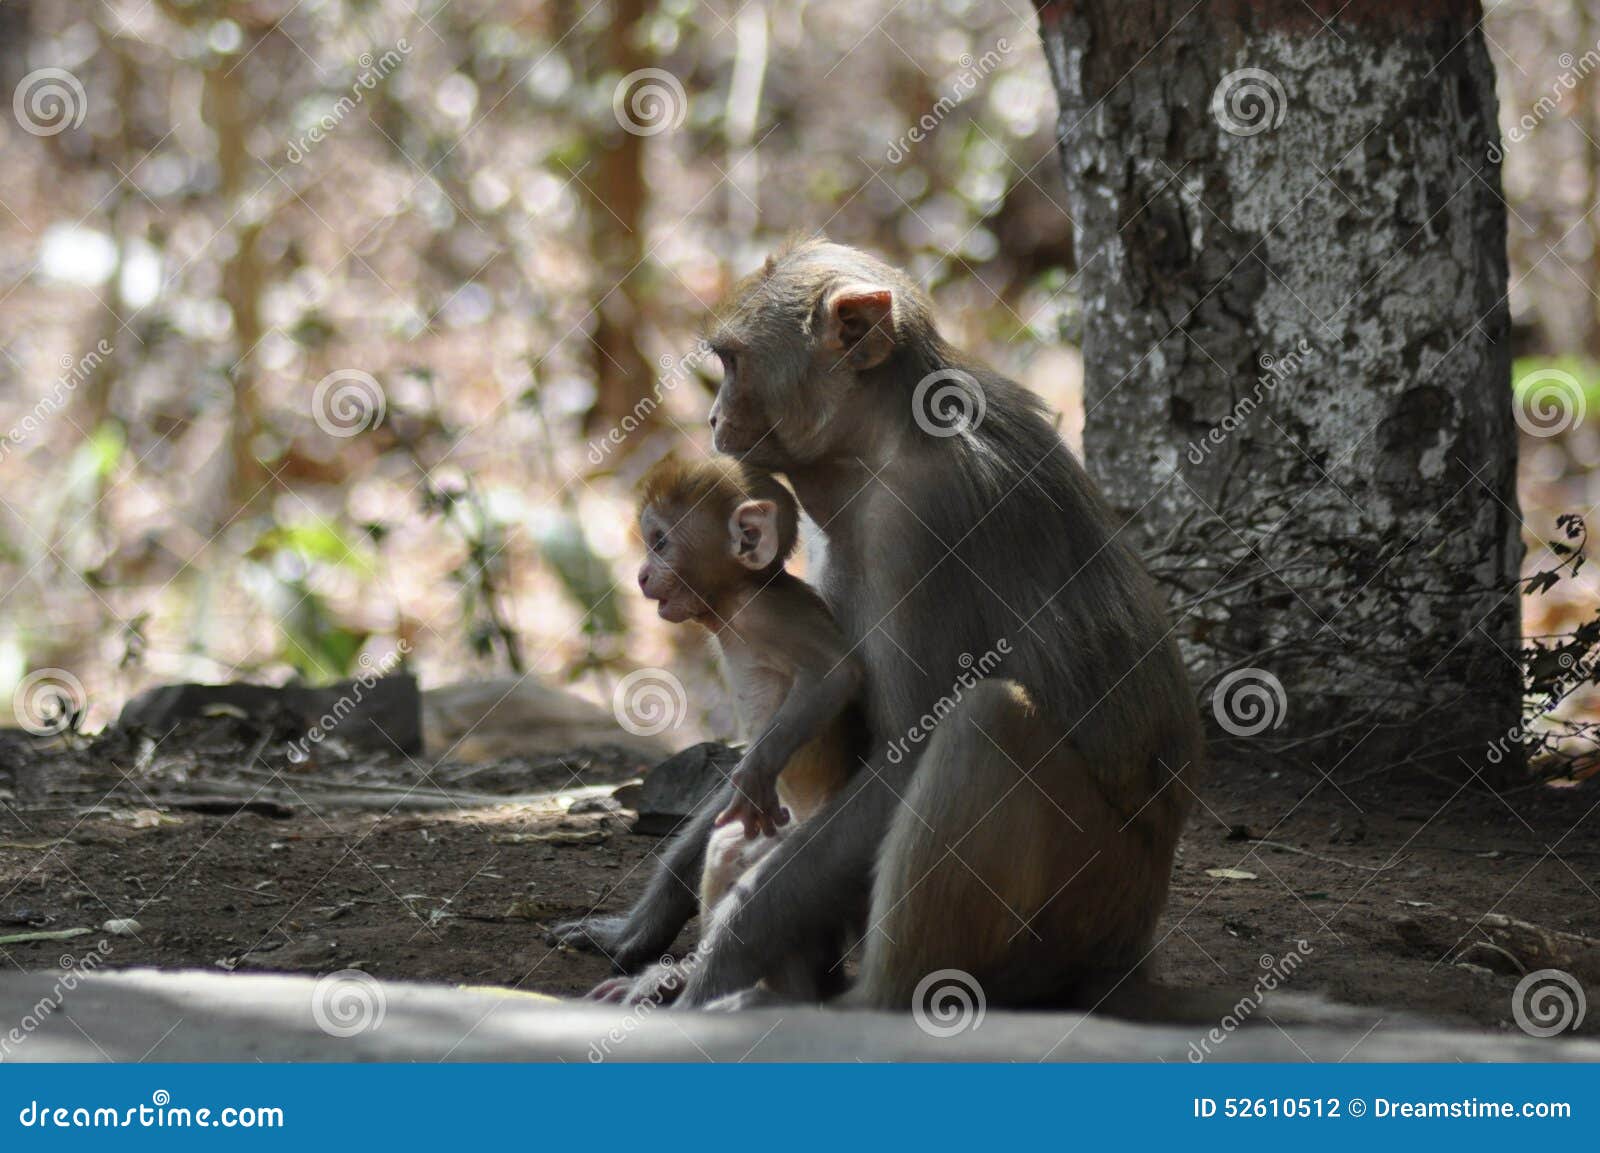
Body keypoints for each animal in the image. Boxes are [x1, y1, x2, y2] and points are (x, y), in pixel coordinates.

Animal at [577, 456, 865, 1004]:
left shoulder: (771, 616)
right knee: (727, 846)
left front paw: (756, 772)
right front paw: (634, 933)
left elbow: (837, 671)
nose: (642, 574)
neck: (735, 604)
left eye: (660, 542)